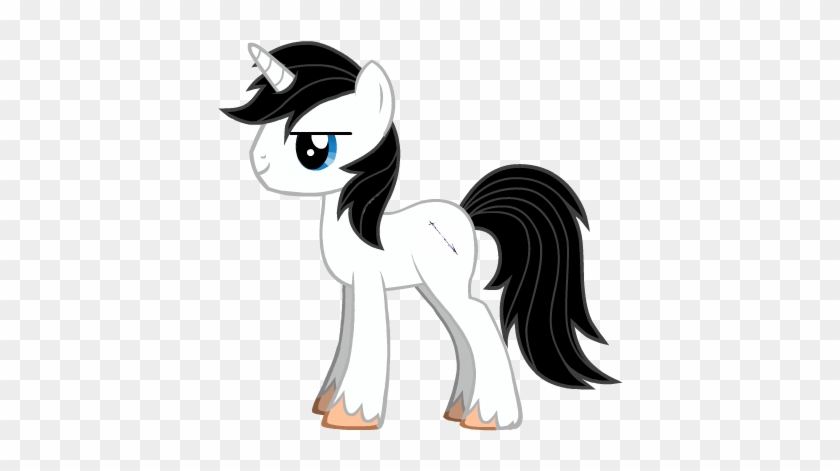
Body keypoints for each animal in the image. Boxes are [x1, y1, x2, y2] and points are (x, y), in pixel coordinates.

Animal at [221, 41, 618, 430]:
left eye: (314, 150)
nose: (259, 162)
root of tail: (466, 216)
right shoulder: (351, 288)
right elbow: (348, 339)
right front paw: (326, 404)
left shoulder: (368, 281)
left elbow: (369, 336)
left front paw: (351, 417)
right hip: (430, 286)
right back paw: (461, 411)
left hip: (443, 282)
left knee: (476, 318)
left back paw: (490, 418)